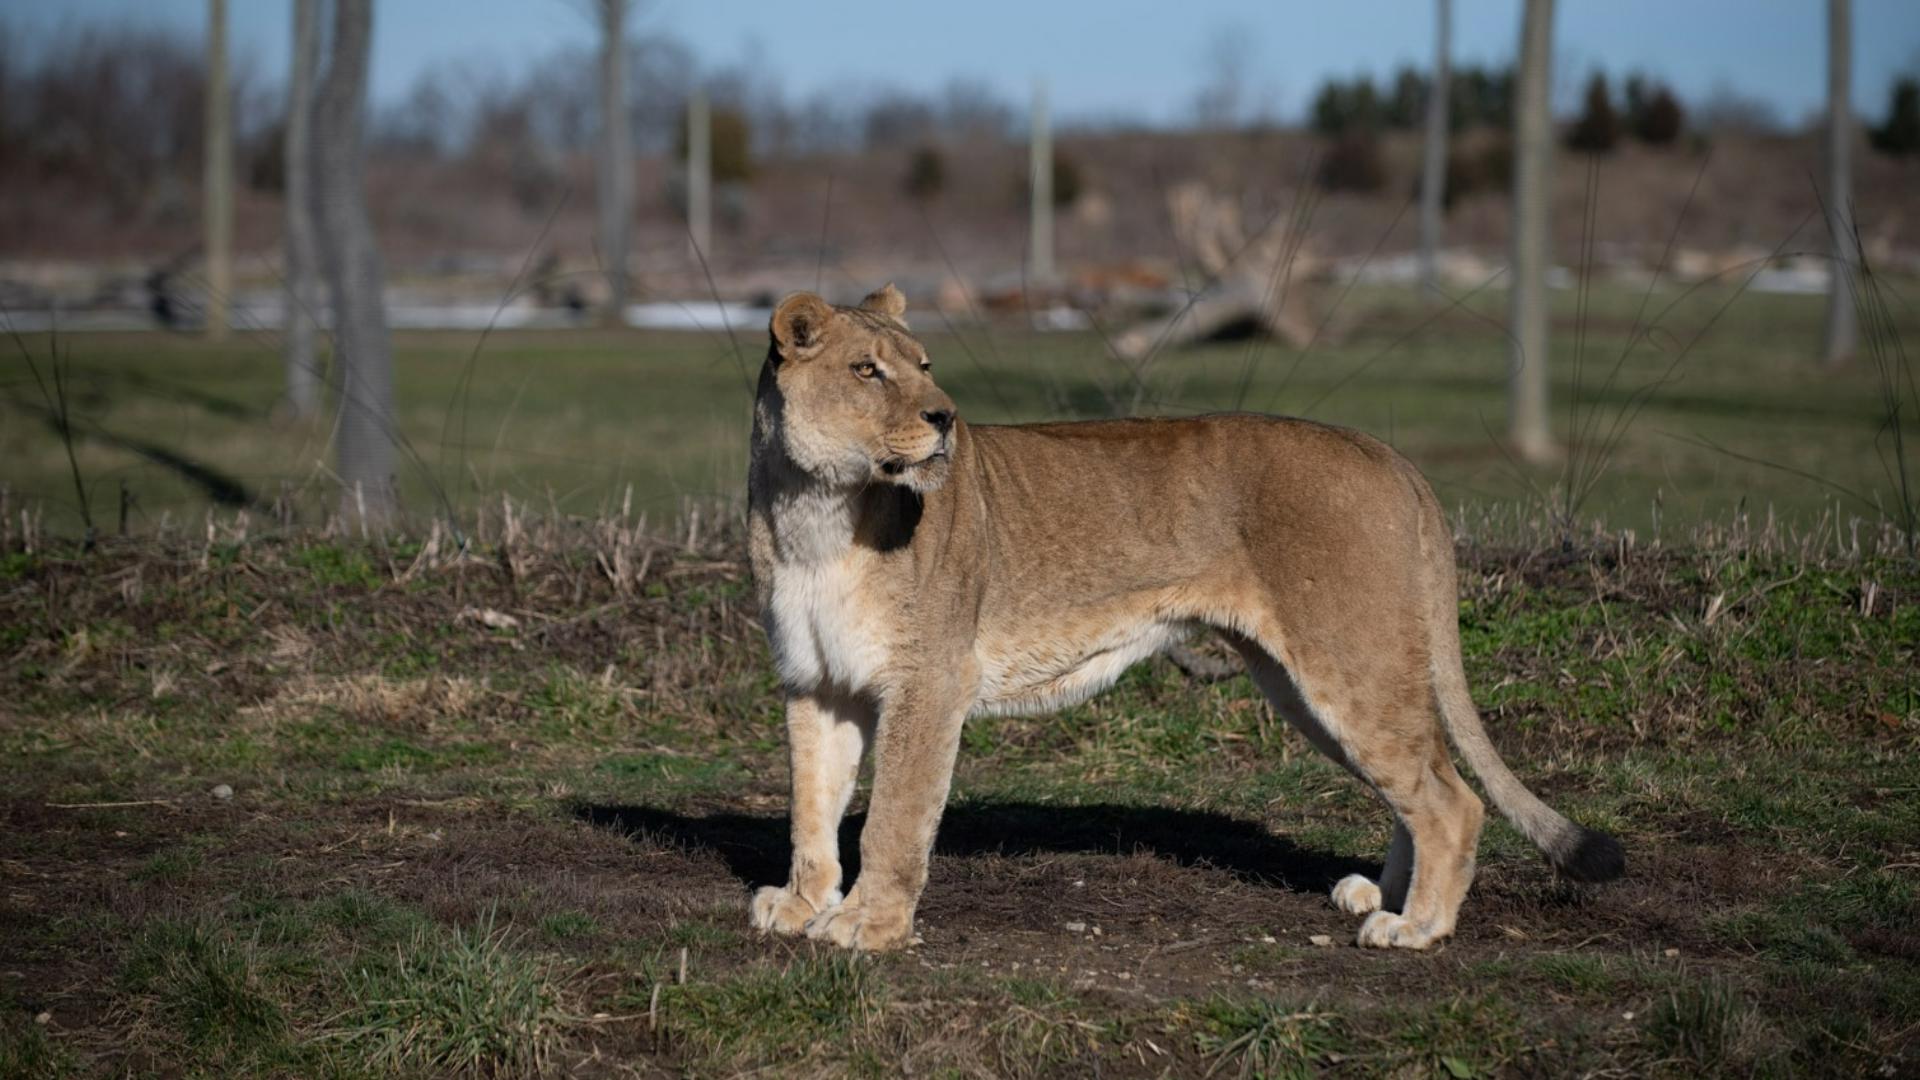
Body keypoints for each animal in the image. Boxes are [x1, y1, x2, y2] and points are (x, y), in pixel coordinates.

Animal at [745, 285, 1623, 952]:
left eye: (923, 367)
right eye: (867, 370)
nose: (945, 418)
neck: (817, 510)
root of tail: (1389, 456)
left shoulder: (928, 682)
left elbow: (893, 819)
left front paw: (870, 927)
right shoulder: (818, 684)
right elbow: (812, 806)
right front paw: (802, 905)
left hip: (1349, 660)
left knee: (1451, 799)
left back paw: (1417, 929)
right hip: (1304, 685)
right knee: (1416, 782)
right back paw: (1381, 896)